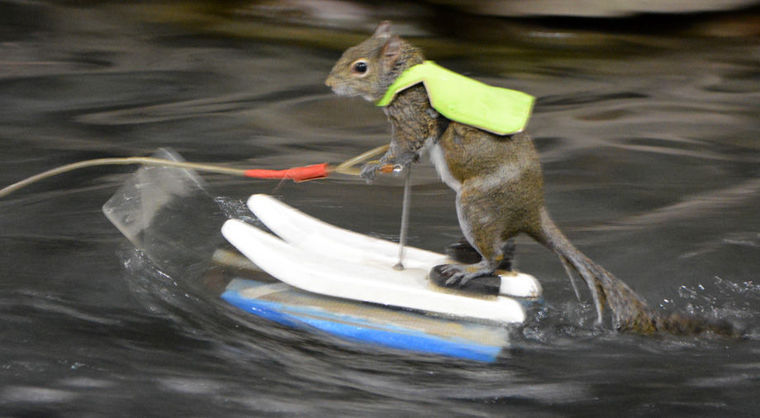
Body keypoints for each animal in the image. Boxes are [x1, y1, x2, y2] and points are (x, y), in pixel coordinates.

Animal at [325, 21, 737, 337]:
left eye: (360, 67)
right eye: (348, 50)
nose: (329, 84)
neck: (407, 73)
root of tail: (533, 212)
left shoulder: (413, 115)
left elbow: (404, 147)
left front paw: (375, 166)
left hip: (476, 205)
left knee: (493, 258)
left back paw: (468, 268)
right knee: (504, 250)